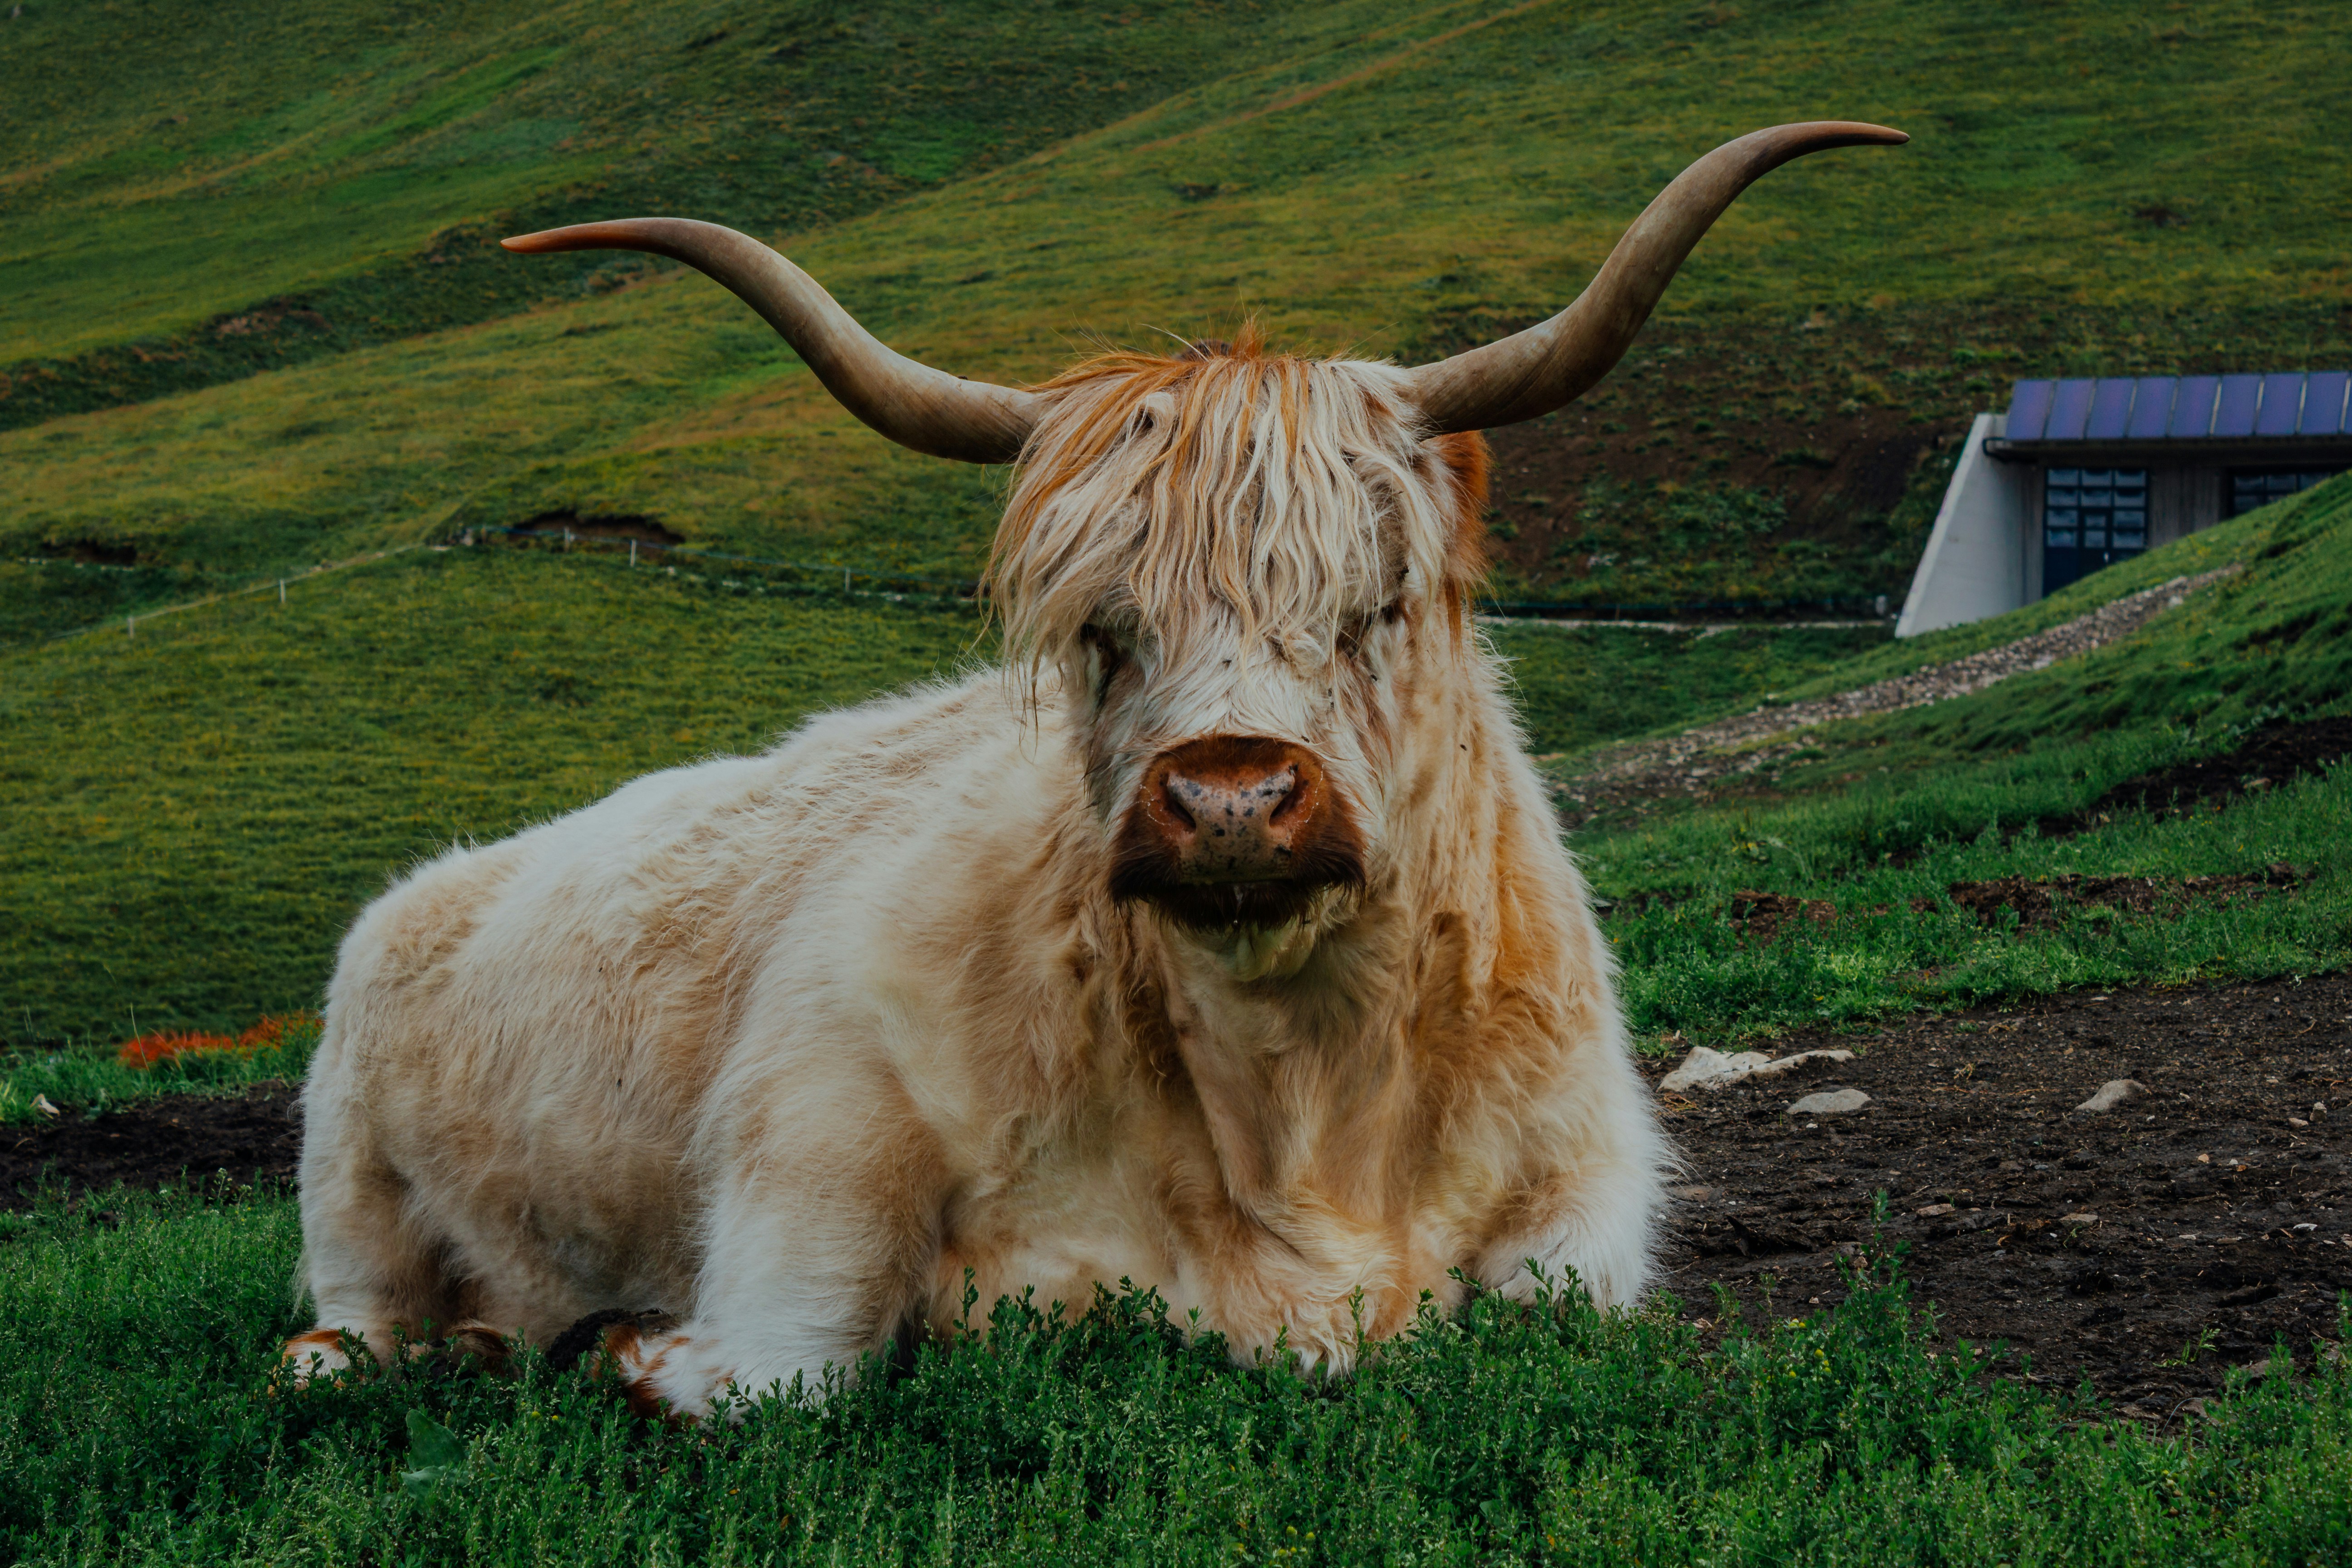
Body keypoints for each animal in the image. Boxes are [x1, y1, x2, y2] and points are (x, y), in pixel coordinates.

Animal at [282, 122, 1903, 1417]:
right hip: (345, 1168)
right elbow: (788, 1368)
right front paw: (627, 1345)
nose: (1232, 800)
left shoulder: (1585, 1197)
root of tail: (430, 888)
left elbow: (1548, 1293)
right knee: (339, 1329)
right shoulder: (813, 1133)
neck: (1295, 1107)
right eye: (1104, 633)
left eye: (1374, 605)